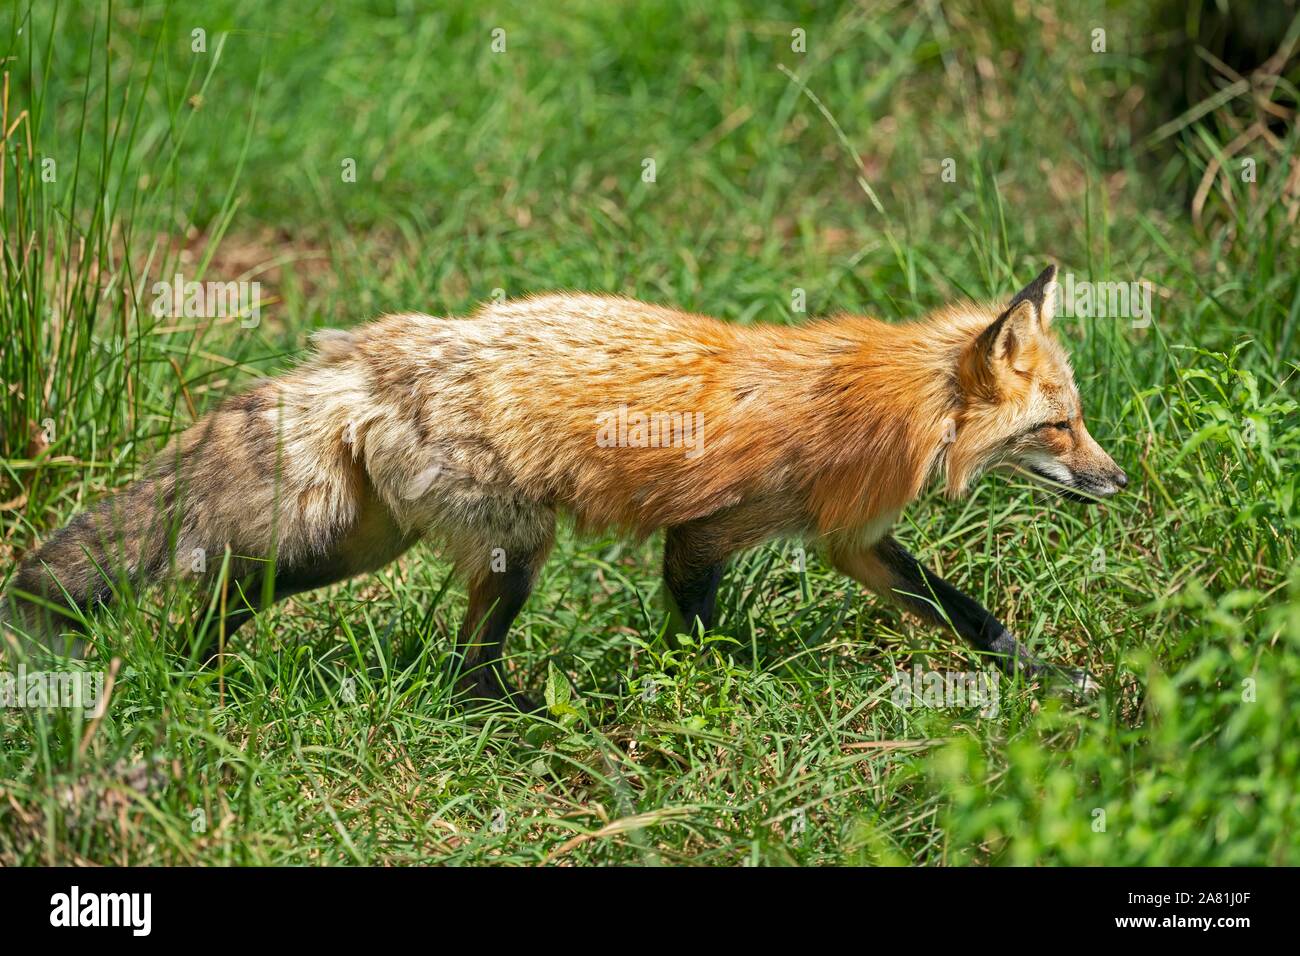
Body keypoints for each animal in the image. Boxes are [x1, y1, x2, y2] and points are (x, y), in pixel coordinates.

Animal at [3, 264, 1126, 704]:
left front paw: (1055, 679)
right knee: (463, 672)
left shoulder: (849, 540)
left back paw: (200, 671)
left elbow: (971, 617)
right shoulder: (710, 532)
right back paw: (529, 715)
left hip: (364, 543)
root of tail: (377, 348)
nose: (1116, 480)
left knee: (234, 589)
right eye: (1059, 425)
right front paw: (713, 698)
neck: (896, 406)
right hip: (513, 551)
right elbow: (702, 632)